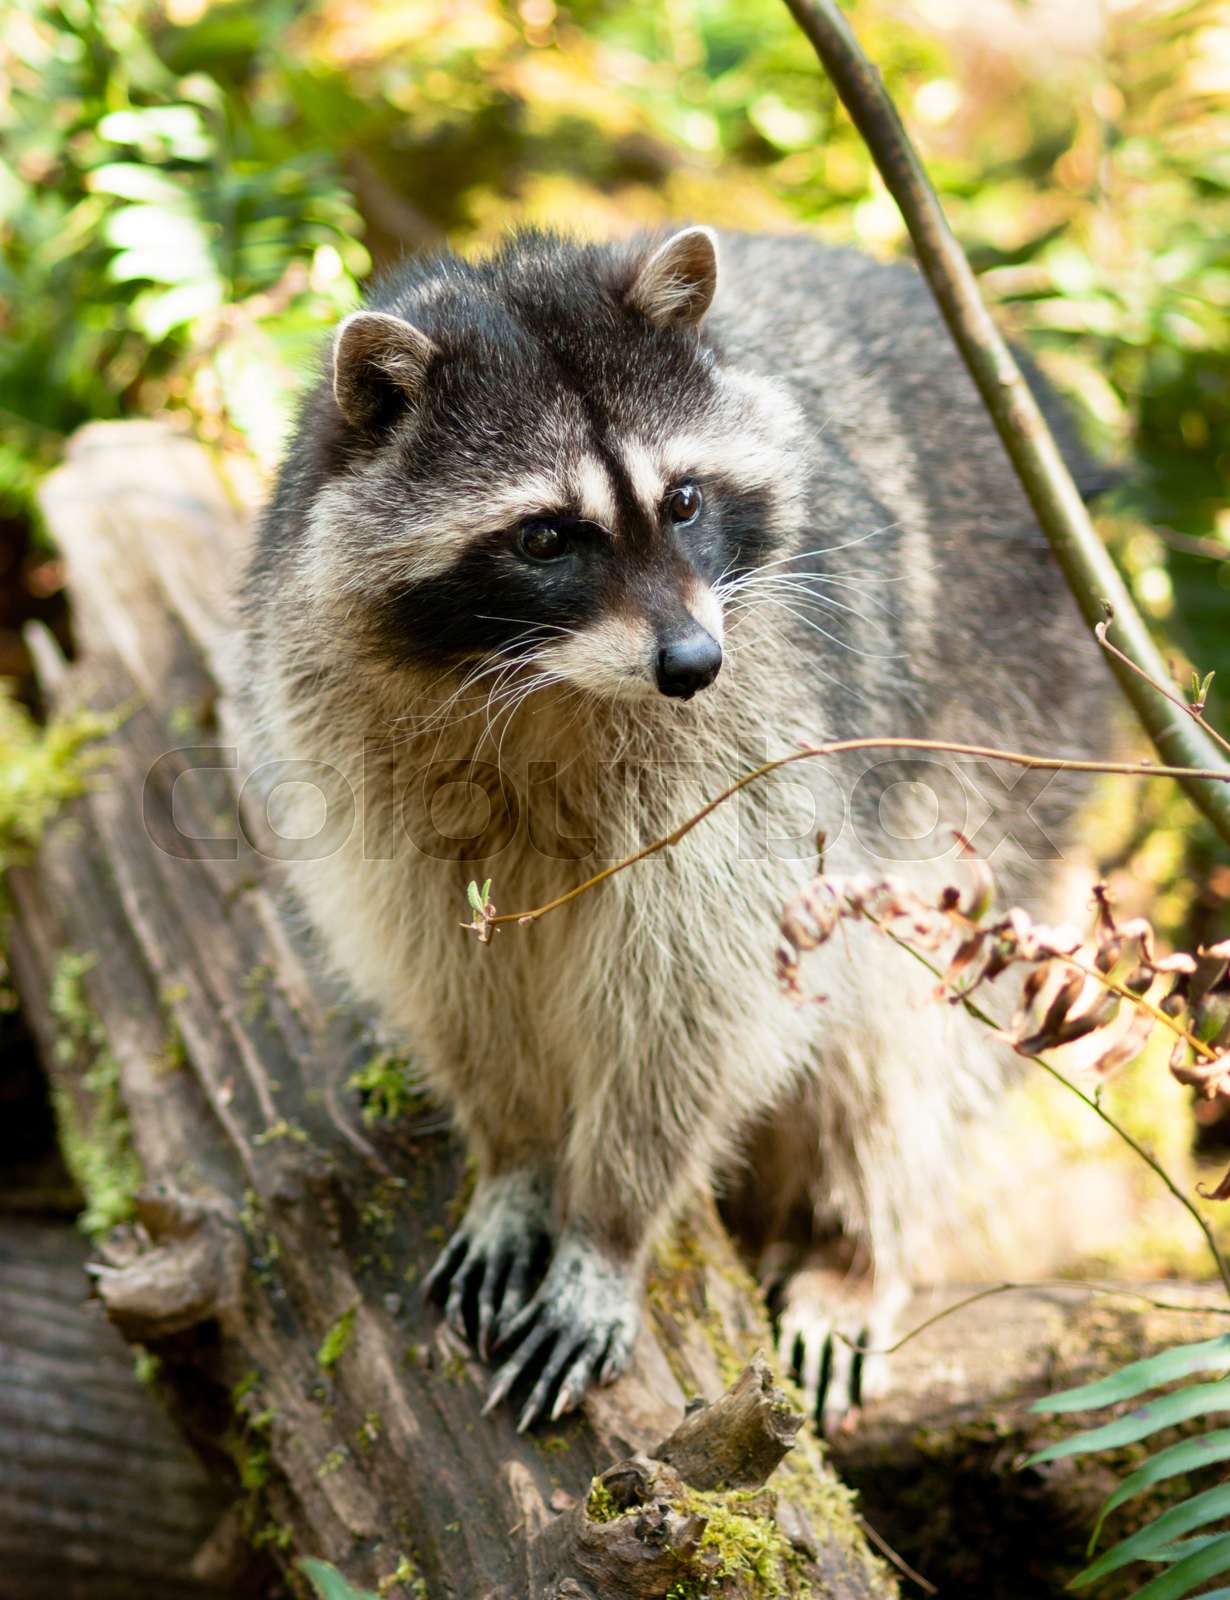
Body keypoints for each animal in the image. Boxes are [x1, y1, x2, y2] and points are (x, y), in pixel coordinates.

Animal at [242, 226, 1107, 1433]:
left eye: (686, 499)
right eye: (544, 538)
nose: (693, 664)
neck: (544, 681)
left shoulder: (761, 736)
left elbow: (690, 1001)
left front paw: (609, 1228)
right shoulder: (357, 743)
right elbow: (452, 971)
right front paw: (514, 1154)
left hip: (1011, 719)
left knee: (903, 1031)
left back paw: (852, 1246)